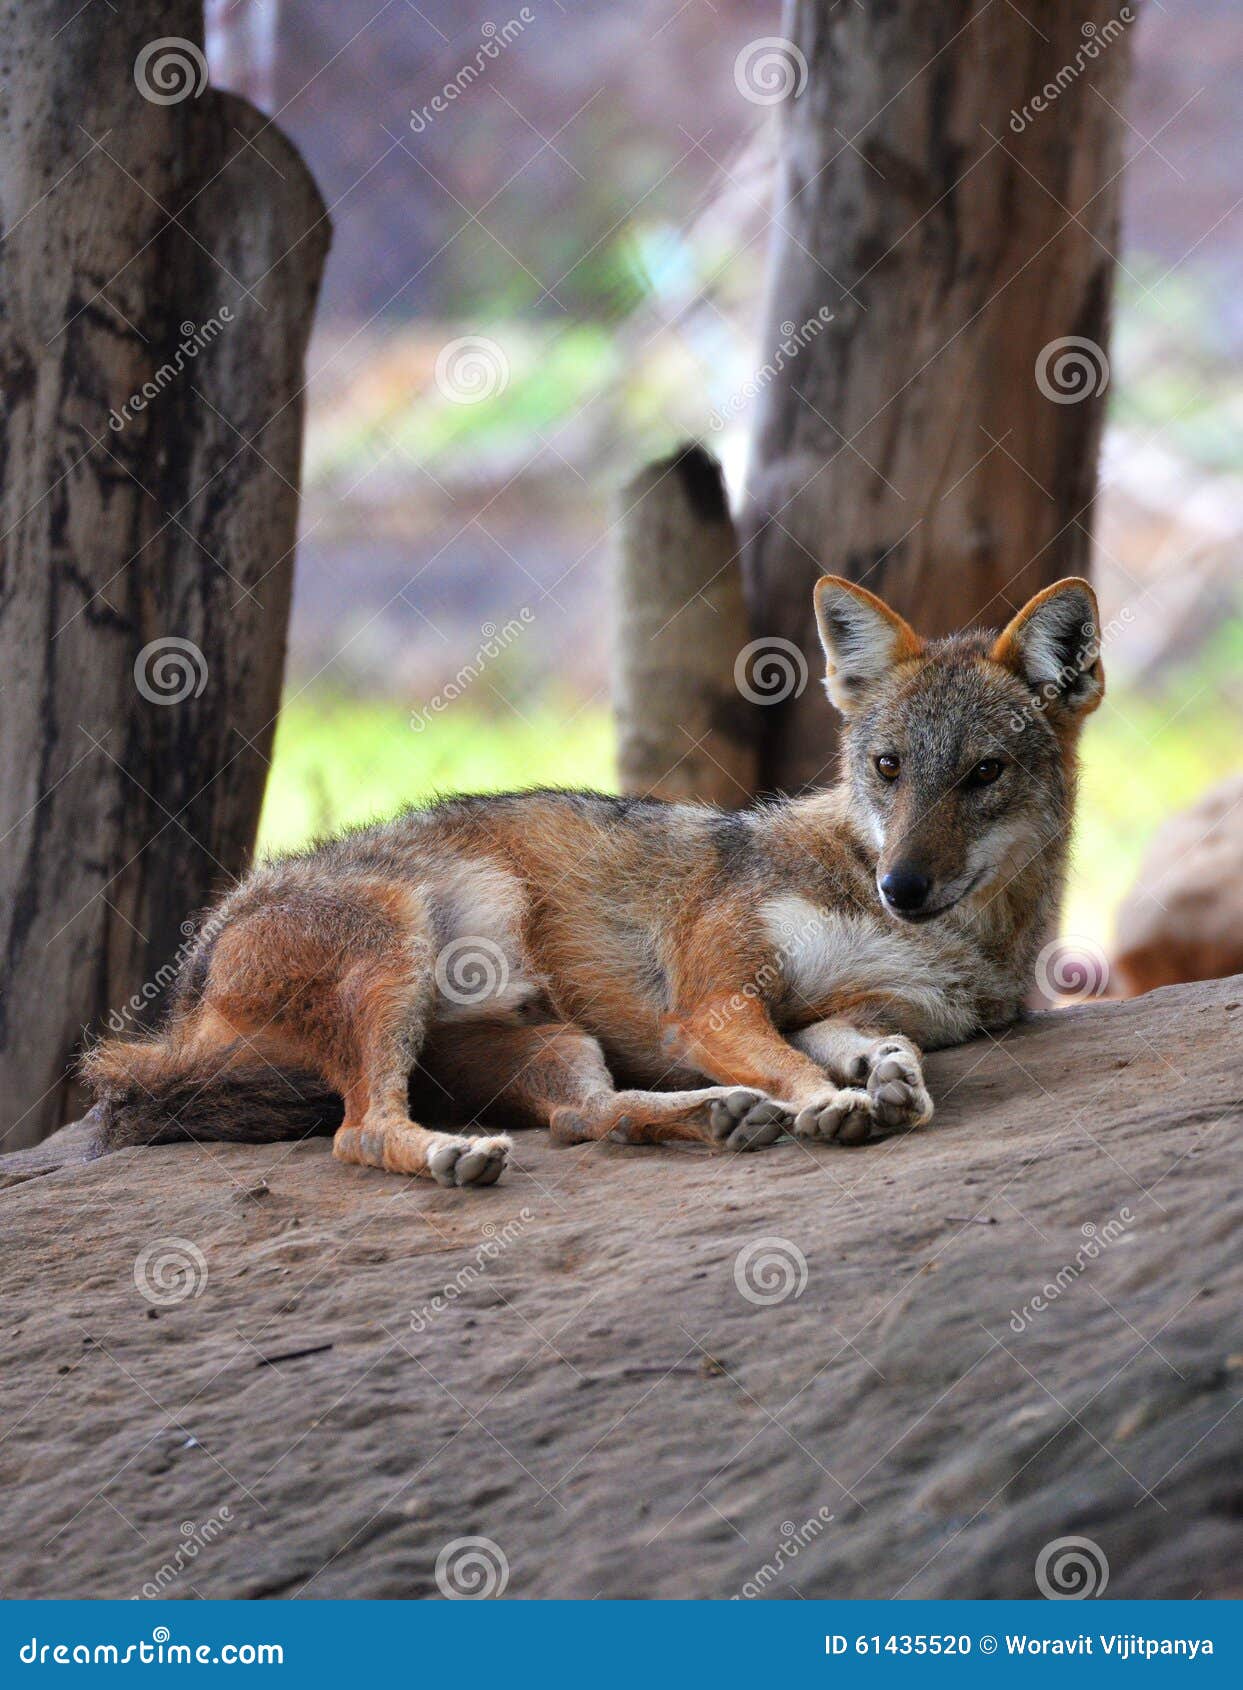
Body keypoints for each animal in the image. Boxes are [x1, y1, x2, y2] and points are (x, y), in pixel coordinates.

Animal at [81, 571, 1103, 1187]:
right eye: (888, 768)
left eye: (982, 774)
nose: (903, 885)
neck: (947, 942)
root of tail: (180, 1002)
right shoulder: (715, 1003)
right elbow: (794, 1065)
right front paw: (831, 1106)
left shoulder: (835, 1010)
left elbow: (866, 1044)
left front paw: (886, 1077)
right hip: (399, 941)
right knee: (357, 1130)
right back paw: (457, 1155)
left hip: (556, 1039)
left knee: (585, 1118)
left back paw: (717, 1118)